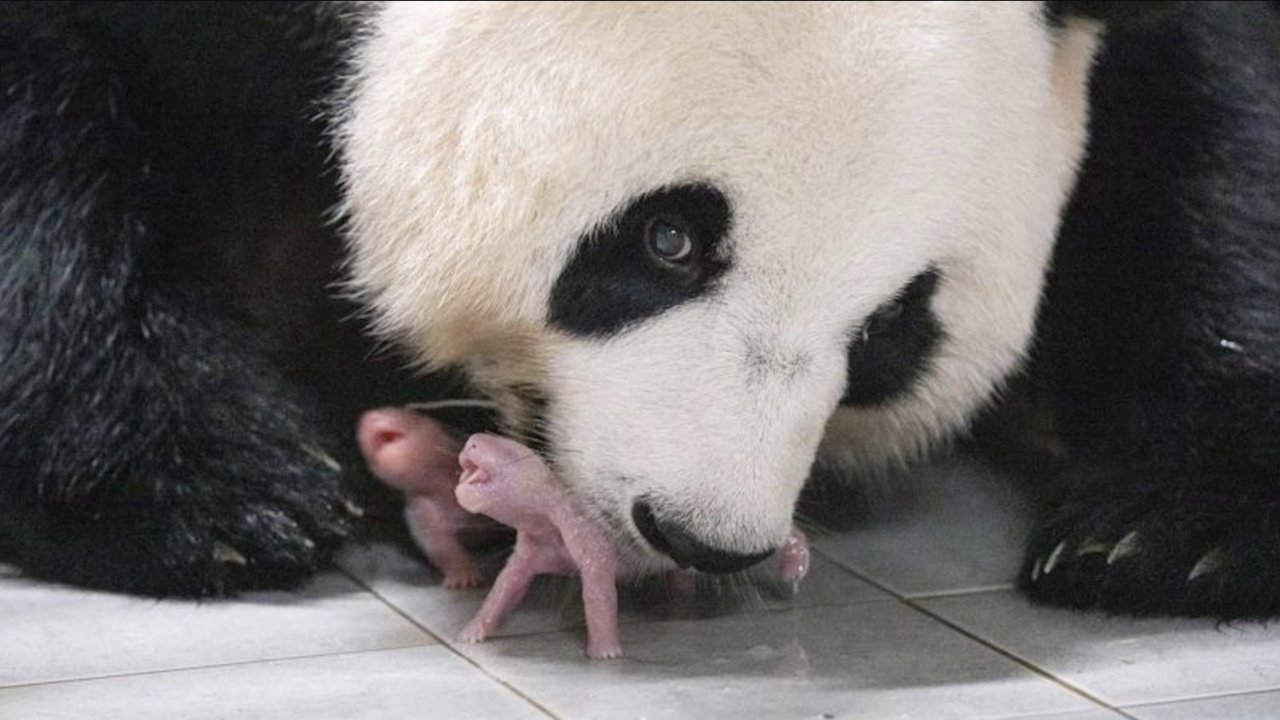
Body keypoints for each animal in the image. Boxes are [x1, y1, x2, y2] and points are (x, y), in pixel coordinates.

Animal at [2, 1, 1278, 620]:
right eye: (668, 239)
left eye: (890, 332)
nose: (702, 535)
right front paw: (206, 489)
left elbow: (1208, 129)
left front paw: (1173, 530)